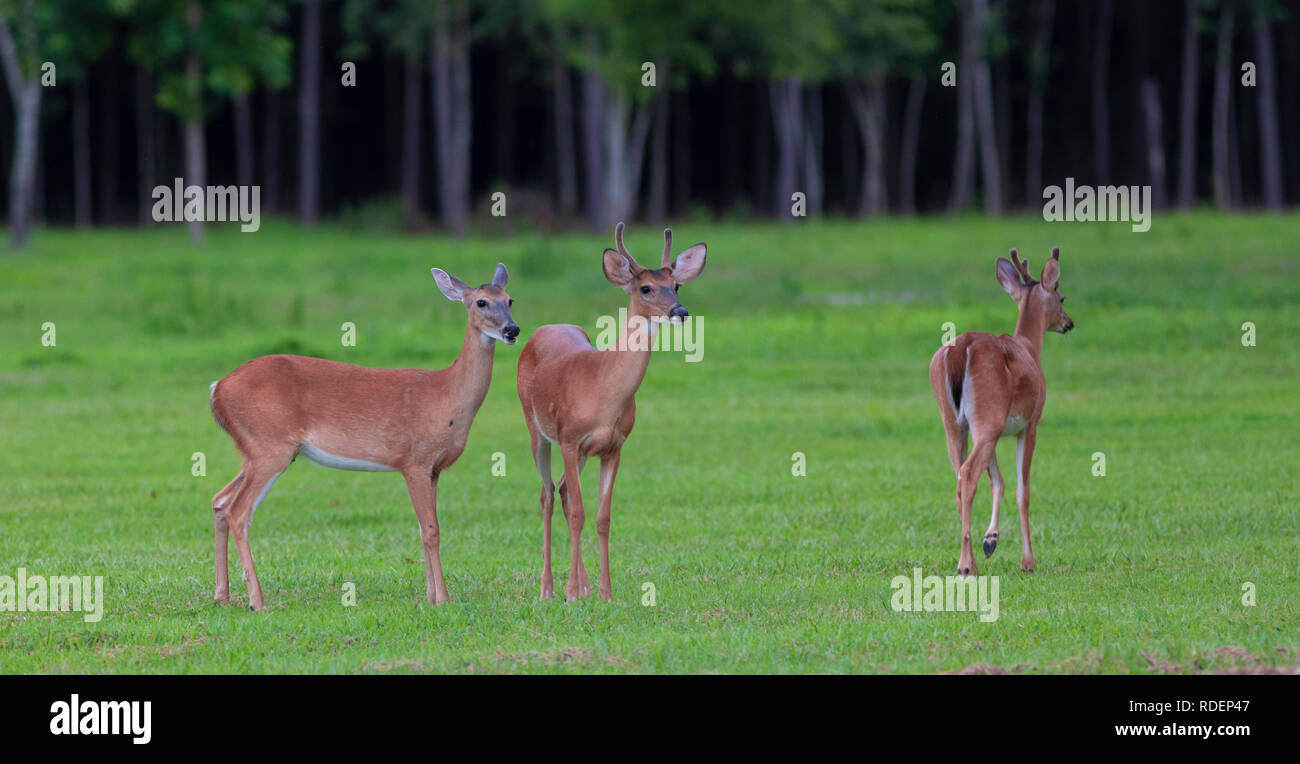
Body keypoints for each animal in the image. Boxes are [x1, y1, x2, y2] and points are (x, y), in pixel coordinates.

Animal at [208, 264, 519, 610]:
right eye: (481, 302)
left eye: (510, 299)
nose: (512, 329)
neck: (447, 395)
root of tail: (218, 389)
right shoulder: (414, 460)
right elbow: (431, 530)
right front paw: (443, 599)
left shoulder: (434, 468)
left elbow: (422, 529)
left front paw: (430, 595)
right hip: (269, 446)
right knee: (238, 511)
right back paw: (257, 601)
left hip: (256, 450)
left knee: (220, 501)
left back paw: (222, 596)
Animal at [516, 223, 706, 601]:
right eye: (645, 287)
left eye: (676, 284)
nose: (680, 312)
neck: (604, 391)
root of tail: (542, 329)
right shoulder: (570, 439)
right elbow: (579, 513)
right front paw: (571, 591)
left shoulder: (614, 446)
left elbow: (603, 517)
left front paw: (604, 591)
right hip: (537, 429)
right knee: (547, 494)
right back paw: (548, 588)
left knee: (562, 490)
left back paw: (584, 585)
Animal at [928, 247, 1073, 578]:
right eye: (1062, 298)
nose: (1069, 323)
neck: (1030, 346)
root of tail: (961, 350)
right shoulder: (1030, 424)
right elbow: (1023, 490)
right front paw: (1027, 561)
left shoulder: (993, 428)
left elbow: (999, 481)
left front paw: (990, 539)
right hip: (987, 417)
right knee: (968, 474)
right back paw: (965, 565)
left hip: (958, 422)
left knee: (959, 477)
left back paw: (969, 560)